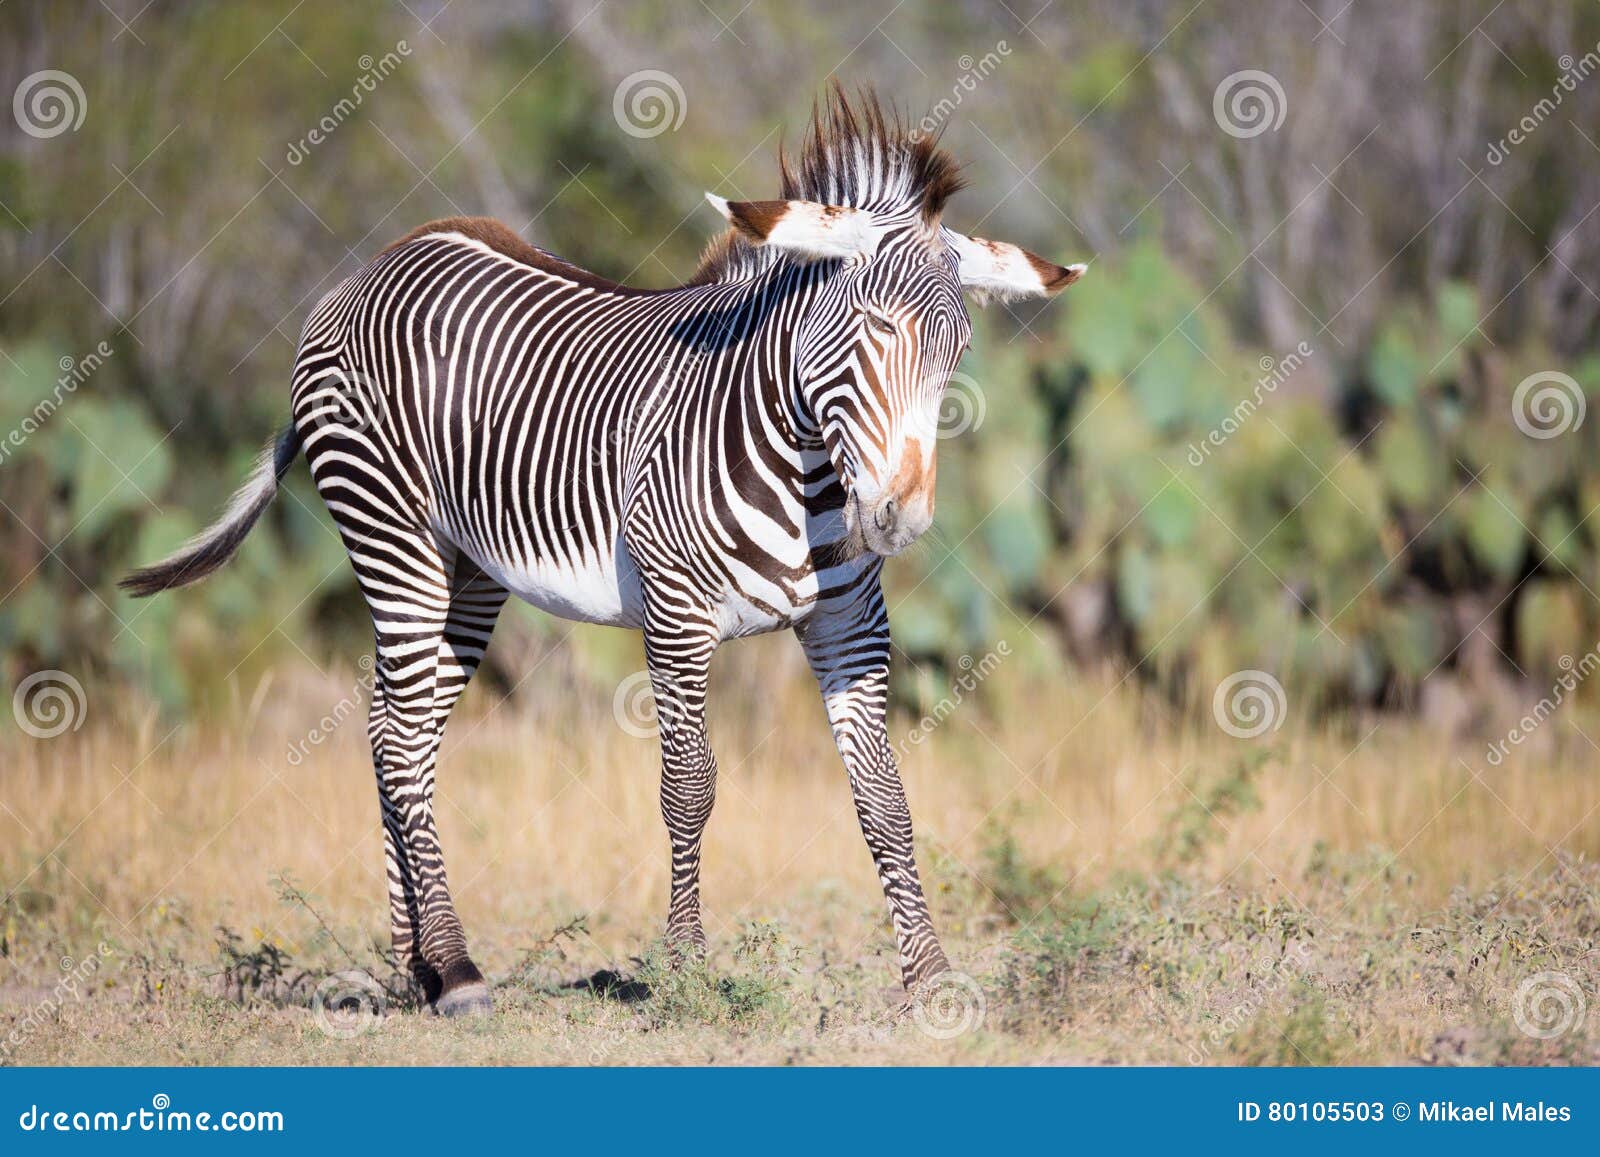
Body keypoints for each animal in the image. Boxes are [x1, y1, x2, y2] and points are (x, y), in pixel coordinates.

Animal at [122, 87, 1084, 1015]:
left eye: (960, 347)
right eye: (874, 327)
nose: (898, 518)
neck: (804, 465)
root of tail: (375, 265)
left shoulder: (852, 624)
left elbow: (884, 797)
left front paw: (931, 977)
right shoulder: (678, 616)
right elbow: (689, 785)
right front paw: (687, 970)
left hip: (469, 572)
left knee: (398, 733)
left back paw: (415, 968)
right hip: (390, 533)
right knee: (398, 742)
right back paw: (458, 970)